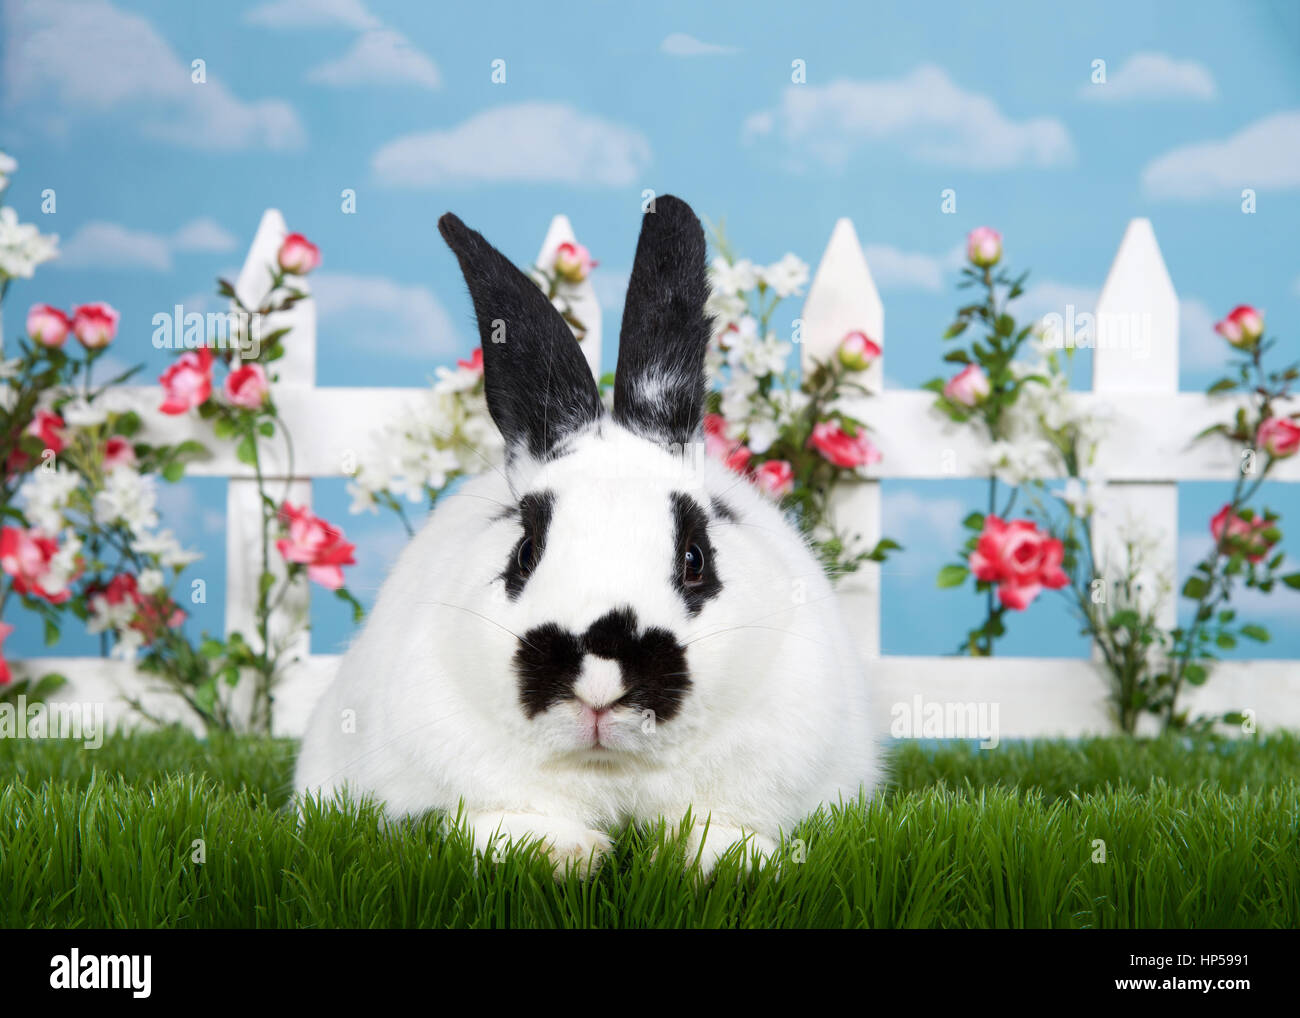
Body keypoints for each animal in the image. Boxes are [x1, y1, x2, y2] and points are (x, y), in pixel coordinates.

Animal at [294, 195, 880, 876]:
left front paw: (726, 858)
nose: (600, 675)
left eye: (695, 558)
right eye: (524, 553)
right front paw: (565, 852)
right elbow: (487, 825)